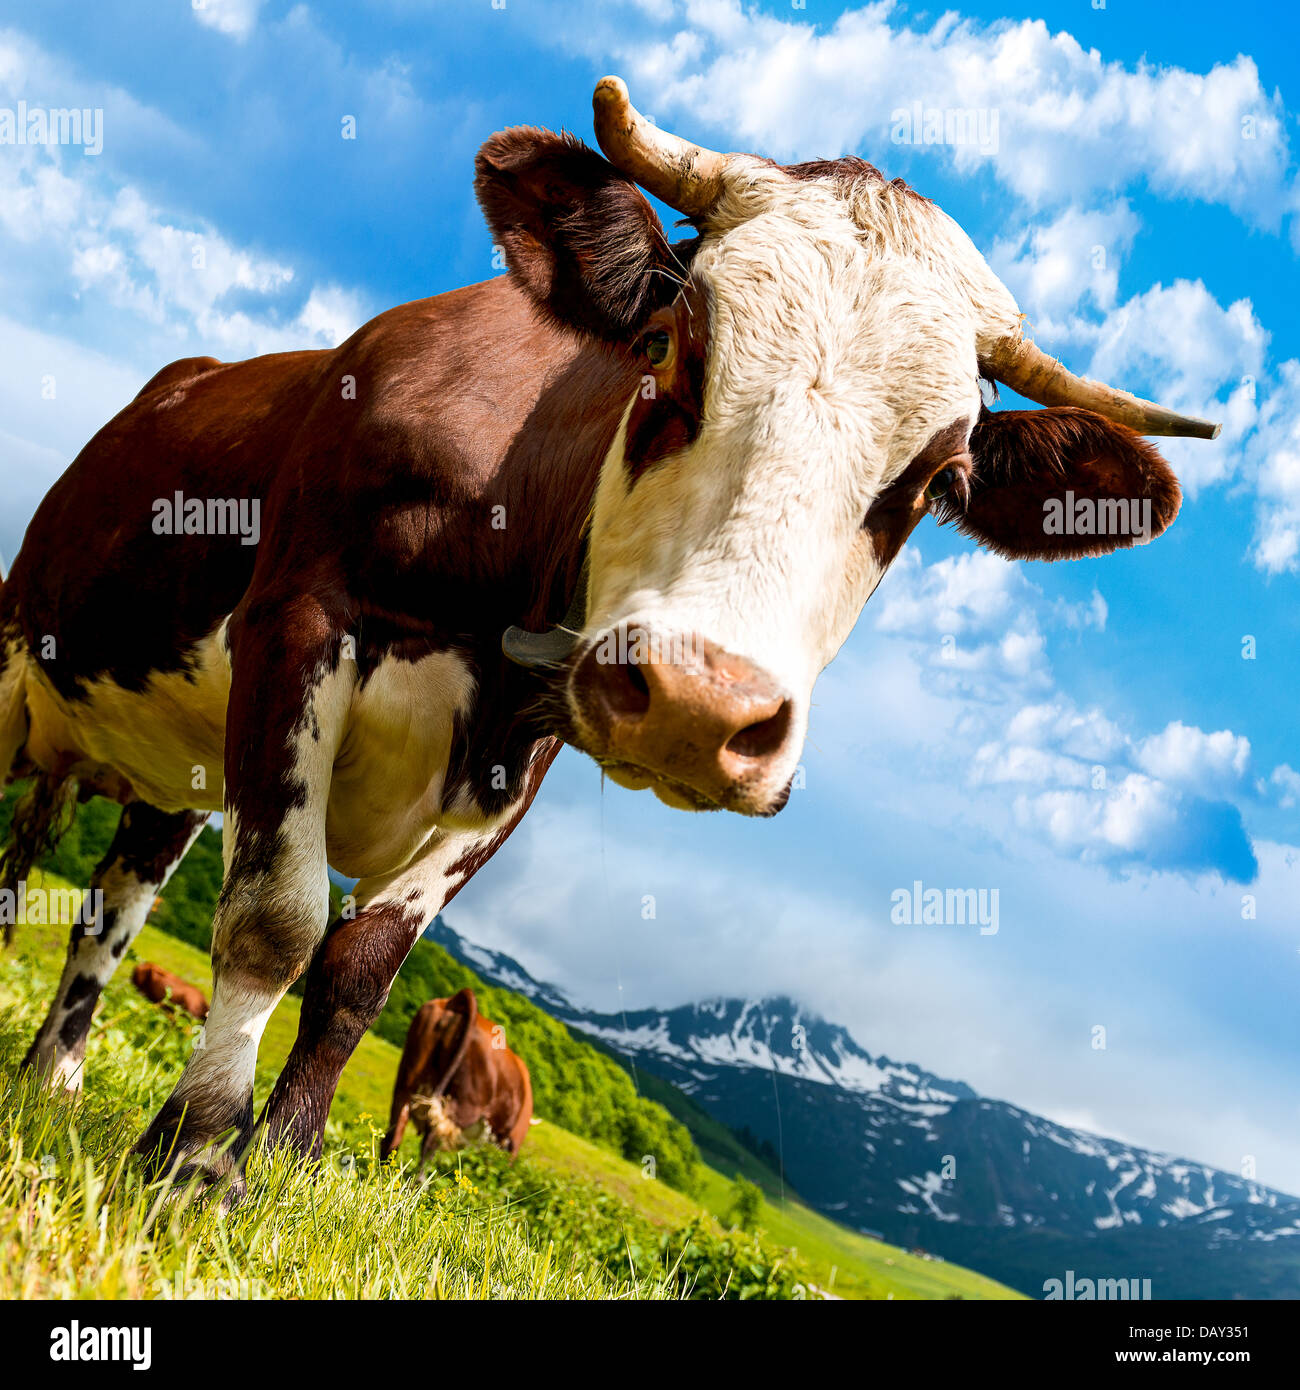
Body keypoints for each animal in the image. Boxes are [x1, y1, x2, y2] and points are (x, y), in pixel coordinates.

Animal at [381, 988, 532, 1172]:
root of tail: (455, 1001)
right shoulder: (513, 1143)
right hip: (466, 1103)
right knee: (432, 1140)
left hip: (406, 1079)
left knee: (393, 1134)